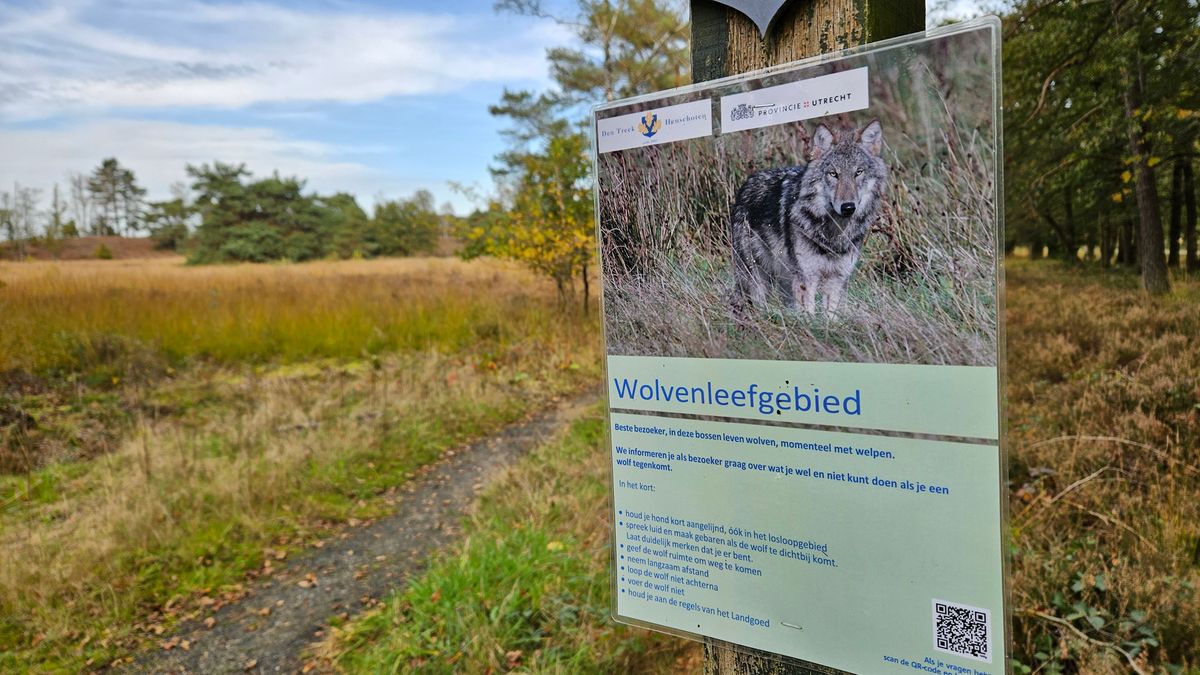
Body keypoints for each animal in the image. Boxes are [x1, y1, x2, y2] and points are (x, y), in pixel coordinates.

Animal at [731, 120, 887, 315]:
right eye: (833, 174)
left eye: (858, 172)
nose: (848, 207)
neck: (834, 235)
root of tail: (747, 183)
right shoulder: (806, 278)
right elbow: (809, 314)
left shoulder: (837, 279)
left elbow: (831, 316)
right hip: (757, 279)